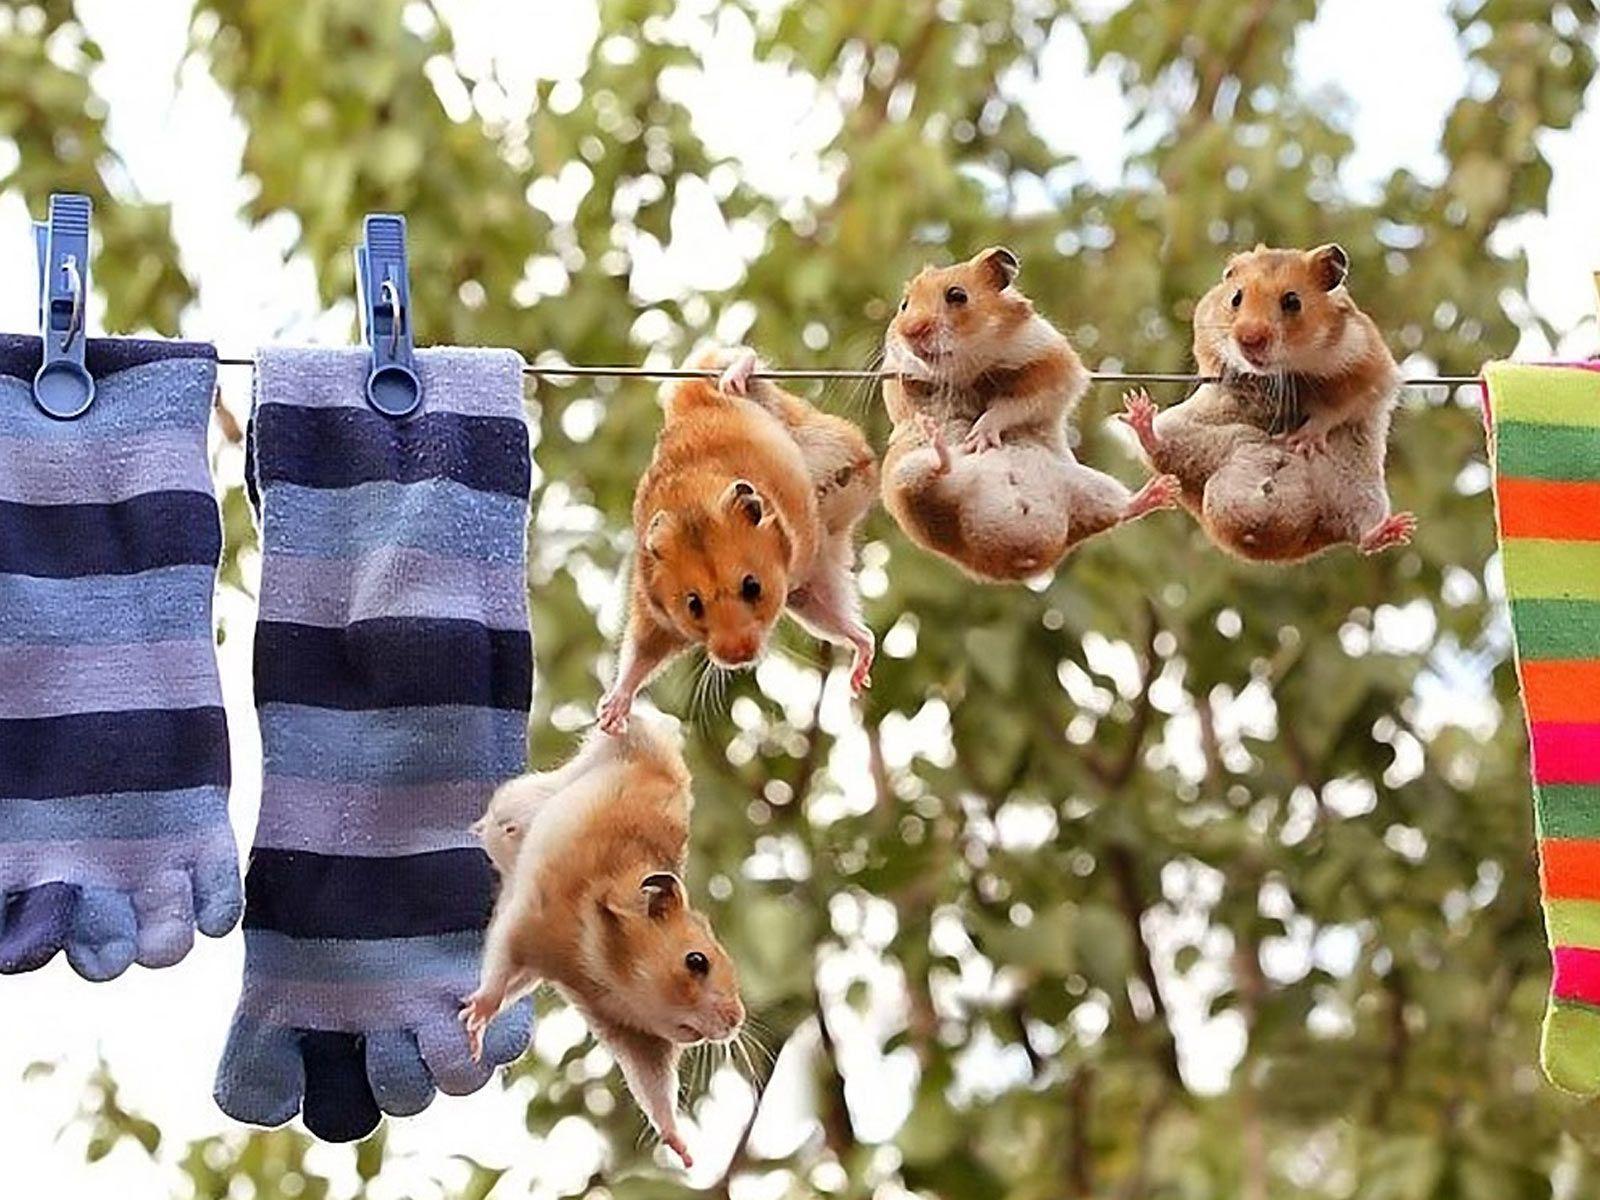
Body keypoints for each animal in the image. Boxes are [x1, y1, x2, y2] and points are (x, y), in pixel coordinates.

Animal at [460, 716, 743, 1168]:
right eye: (696, 962)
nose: (736, 1023)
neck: (610, 970)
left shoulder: (635, 1038)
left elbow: (656, 1094)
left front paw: (685, 1155)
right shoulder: (525, 924)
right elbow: (497, 970)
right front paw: (475, 1025)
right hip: (564, 776)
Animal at [597, 347, 877, 734]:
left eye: (752, 586)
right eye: (693, 604)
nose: (737, 657)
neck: (690, 508)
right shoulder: (655, 617)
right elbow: (640, 655)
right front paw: (608, 719)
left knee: (738, 357)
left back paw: (735, 379)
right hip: (811, 584)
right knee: (851, 626)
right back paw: (860, 671)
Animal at [880, 247, 1179, 582]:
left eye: (957, 295)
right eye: (904, 305)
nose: (910, 332)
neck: (970, 365)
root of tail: (1022, 558)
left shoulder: (1053, 366)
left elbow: (1010, 406)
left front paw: (981, 437)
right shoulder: (898, 386)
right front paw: (962, 432)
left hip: (1090, 488)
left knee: (1122, 509)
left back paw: (1156, 463)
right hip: (905, 485)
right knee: (934, 473)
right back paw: (939, 440)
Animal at [1120, 243, 1416, 561]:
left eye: (1292, 301)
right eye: (1236, 298)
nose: (1249, 340)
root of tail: (1258, 537)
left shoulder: (1371, 365)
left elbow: (1336, 408)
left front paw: (1301, 441)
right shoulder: (1205, 327)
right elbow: (1215, 362)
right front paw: (1236, 376)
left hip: (1359, 490)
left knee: (1361, 534)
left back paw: (1396, 527)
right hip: (1188, 440)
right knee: (1160, 448)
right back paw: (1140, 413)